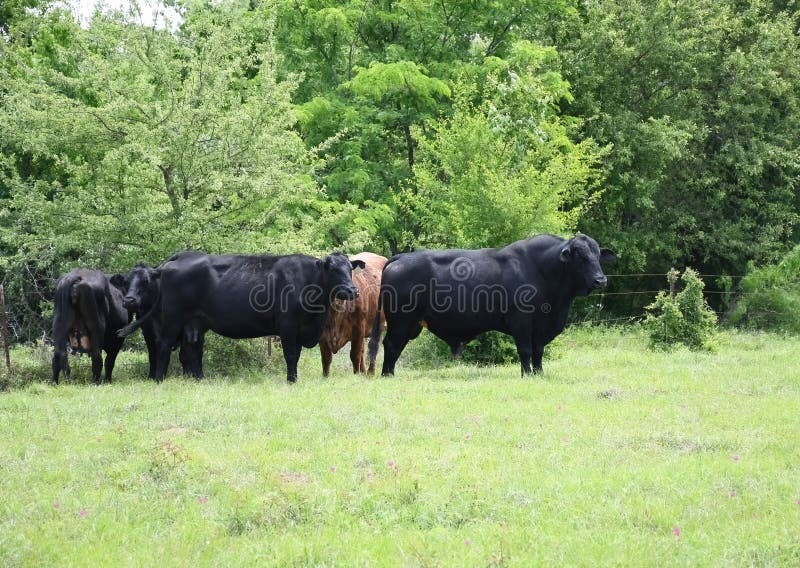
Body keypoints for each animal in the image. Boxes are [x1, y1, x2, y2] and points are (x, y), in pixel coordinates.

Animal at [117, 251, 365, 383]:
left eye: (350, 269)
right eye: (333, 269)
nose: (352, 290)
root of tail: (181, 256)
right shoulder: (288, 326)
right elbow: (291, 355)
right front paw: (291, 380)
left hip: (195, 323)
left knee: (192, 351)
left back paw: (200, 379)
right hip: (173, 319)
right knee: (164, 346)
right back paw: (159, 379)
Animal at [374, 234, 616, 376]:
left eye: (597, 255)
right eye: (580, 256)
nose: (600, 280)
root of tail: (401, 257)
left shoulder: (541, 327)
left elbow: (538, 351)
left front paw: (539, 373)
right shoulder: (521, 321)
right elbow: (525, 350)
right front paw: (527, 374)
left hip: (411, 324)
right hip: (400, 321)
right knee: (391, 345)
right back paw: (387, 375)